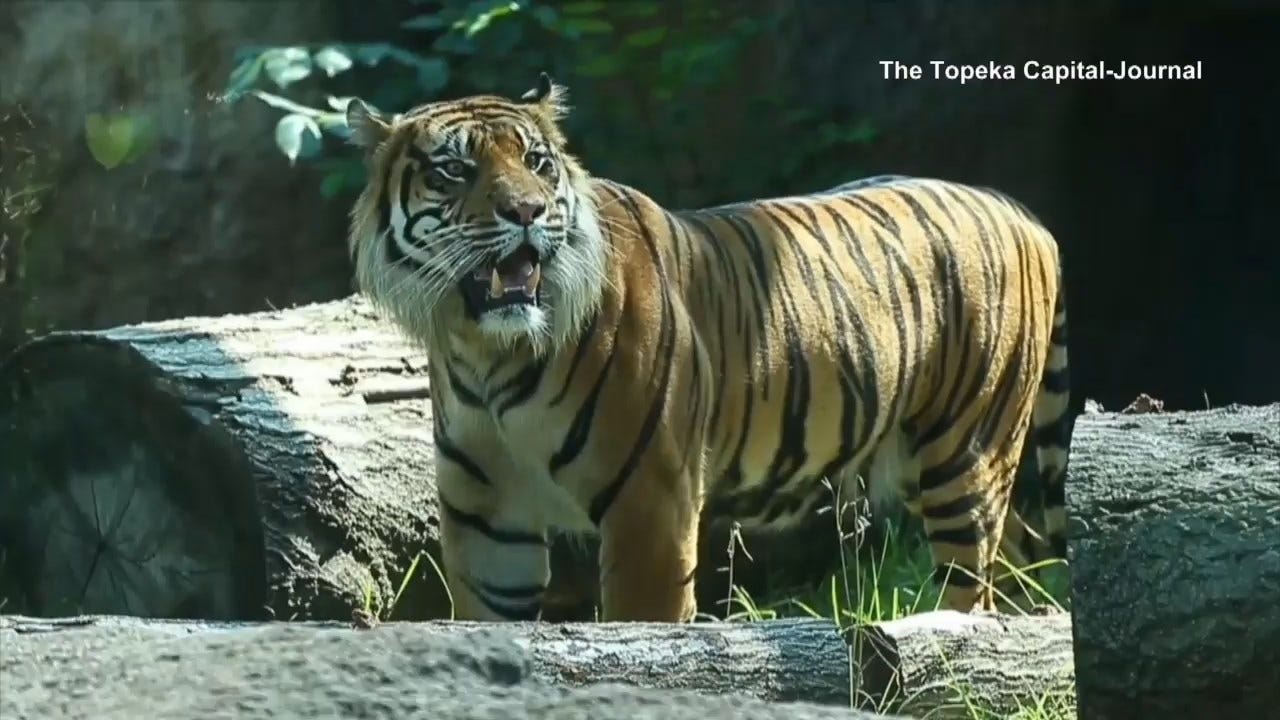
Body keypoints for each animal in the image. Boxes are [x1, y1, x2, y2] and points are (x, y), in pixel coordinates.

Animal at [343, 73, 1072, 623]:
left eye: (537, 163)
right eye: (454, 170)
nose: (527, 211)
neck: (491, 353)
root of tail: (1022, 212)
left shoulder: (650, 506)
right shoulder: (488, 522)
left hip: (966, 460)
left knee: (971, 596)